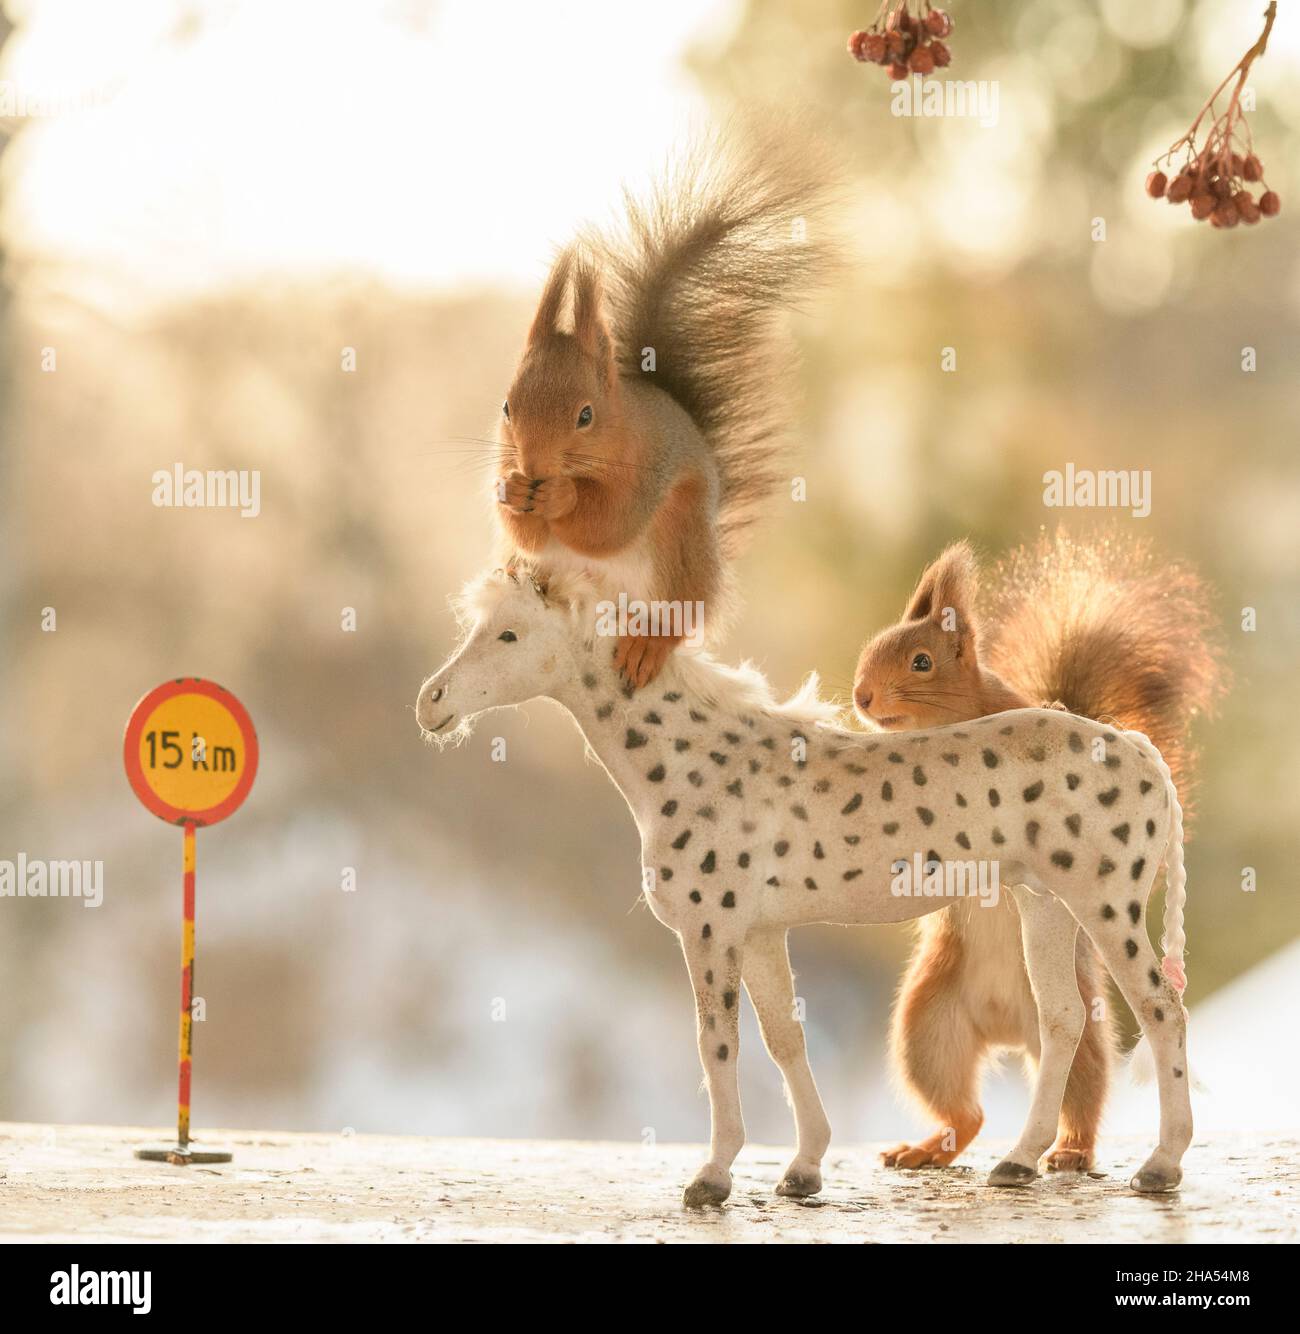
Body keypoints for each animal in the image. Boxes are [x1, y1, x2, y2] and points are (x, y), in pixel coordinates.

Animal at [494, 123, 836, 687]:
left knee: (678, 618)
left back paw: (649, 645)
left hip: (680, 544)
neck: (621, 423)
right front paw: (514, 489)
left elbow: (610, 523)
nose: (536, 468)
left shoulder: (647, 467)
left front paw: (562, 497)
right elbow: (526, 532)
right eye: (506, 406)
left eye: (585, 415)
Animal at [852, 530, 1227, 1172]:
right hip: (927, 1026)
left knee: (1080, 1088)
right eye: (870, 646)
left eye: (921, 661)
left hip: (1081, 1029)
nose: (861, 696)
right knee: (964, 1112)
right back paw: (926, 1150)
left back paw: (1072, 1149)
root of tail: (1005, 1027)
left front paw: (1054, 713)